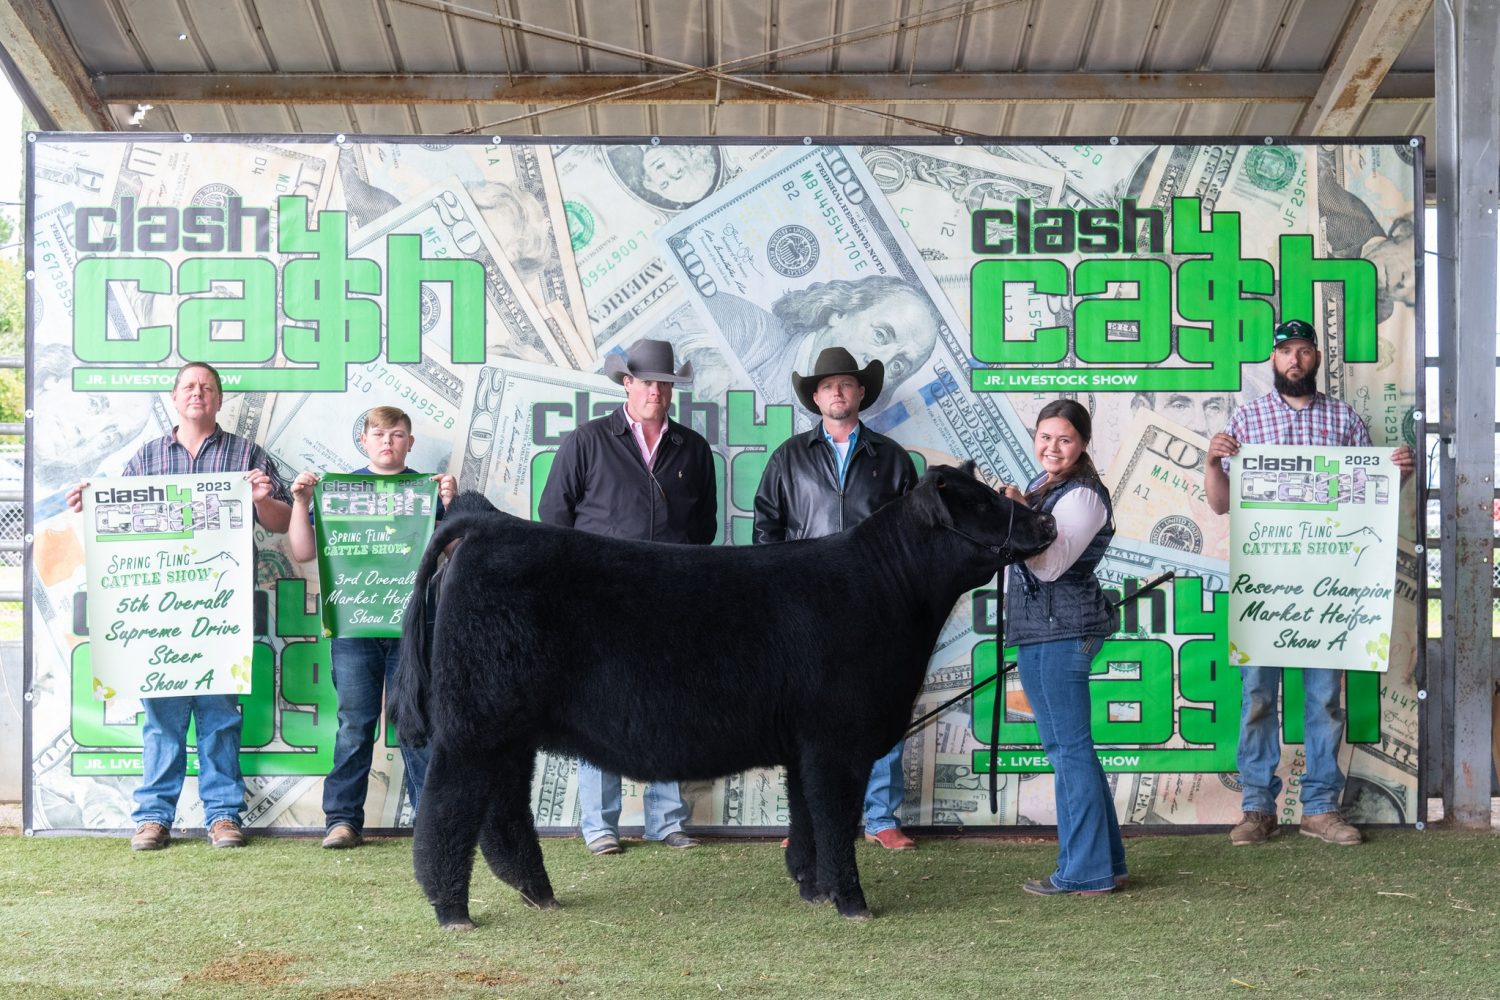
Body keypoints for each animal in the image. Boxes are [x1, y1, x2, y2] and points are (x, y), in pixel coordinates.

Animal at [391, 462, 1056, 929]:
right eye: (978, 502)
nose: (1048, 522)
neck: (887, 591)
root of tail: (490, 522)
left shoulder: (806, 744)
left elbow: (808, 816)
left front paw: (811, 888)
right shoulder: (838, 738)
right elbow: (835, 818)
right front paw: (852, 901)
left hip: (508, 730)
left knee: (500, 810)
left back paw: (538, 893)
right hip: (475, 725)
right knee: (447, 810)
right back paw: (453, 911)